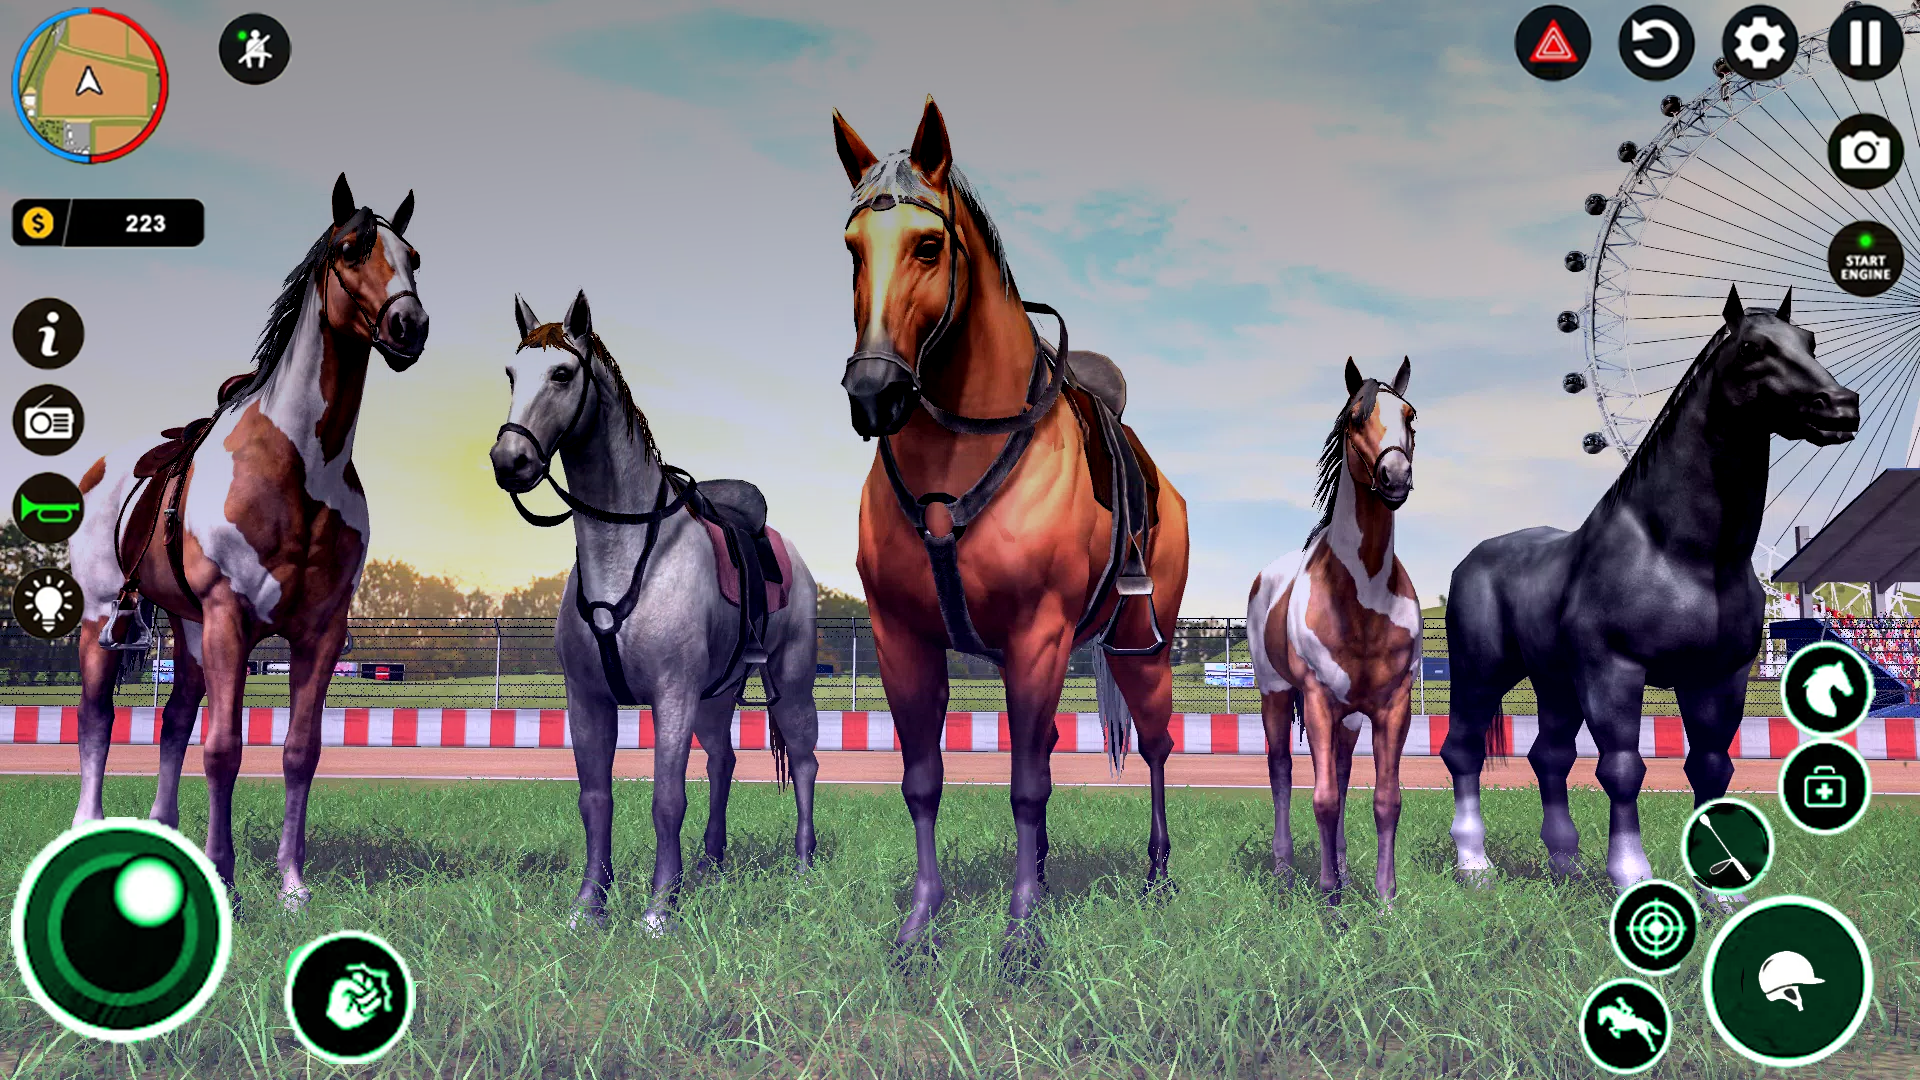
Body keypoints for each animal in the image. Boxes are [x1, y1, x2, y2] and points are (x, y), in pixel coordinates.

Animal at [68, 174, 428, 908]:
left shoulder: (321, 630)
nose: (411, 326)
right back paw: (87, 830)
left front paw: (291, 887)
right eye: (351, 248)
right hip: (103, 616)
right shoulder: (228, 617)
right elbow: (224, 748)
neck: (296, 468)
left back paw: (166, 837)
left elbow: (298, 751)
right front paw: (224, 876)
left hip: (186, 629)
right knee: (96, 721)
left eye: (415, 258)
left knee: (174, 722)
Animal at [490, 290, 820, 929]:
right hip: (715, 698)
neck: (625, 550)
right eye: (512, 374)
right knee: (723, 763)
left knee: (804, 760)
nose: (508, 460)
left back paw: (802, 865)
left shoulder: (672, 696)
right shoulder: (587, 700)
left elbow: (667, 798)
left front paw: (659, 908)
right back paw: (712, 865)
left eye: (562, 374)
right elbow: (595, 799)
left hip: (788, 681)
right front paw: (589, 905)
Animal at [832, 97, 1190, 954]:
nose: (873, 394)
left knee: (1157, 746)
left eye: (929, 245)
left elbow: (1027, 785)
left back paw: (1157, 874)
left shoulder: (1040, 634)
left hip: (1140, 649)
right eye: (852, 249)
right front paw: (921, 922)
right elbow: (923, 780)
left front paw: (1022, 931)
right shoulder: (901, 639)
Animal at [1248, 358, 1420, 903]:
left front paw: (1384, 898)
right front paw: (1329, 897)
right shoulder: (1318, 700)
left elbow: (1385, 800)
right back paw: (1285, 871)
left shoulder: (1392, 705)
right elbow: (1321, 798)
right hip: (1276, 693)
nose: (1395, 477)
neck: (1362, 597)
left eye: (1410, 416)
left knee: (1342, 774)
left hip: (1349, 718)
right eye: (1354, 420)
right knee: (1282, 772)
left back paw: (1341, 865)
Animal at [1441, 286, 1858, 889]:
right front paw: (1630, 876)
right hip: (1482, 672)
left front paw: (1718, 890)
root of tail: (1470, 561)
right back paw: (1475, 864)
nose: (1840, 407)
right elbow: (1621, 768)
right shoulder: (1614, 671)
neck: (1681, 555)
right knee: (1465, 750)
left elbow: (1710, 767)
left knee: (1549, 756)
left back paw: (1565, 864)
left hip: (1556, 682)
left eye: (1810, 341)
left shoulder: (1719, 677)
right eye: (1753, 347)